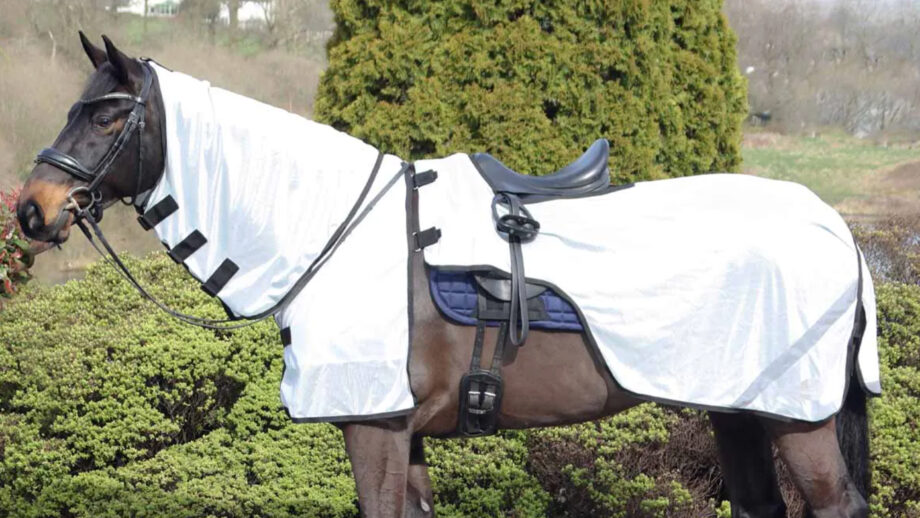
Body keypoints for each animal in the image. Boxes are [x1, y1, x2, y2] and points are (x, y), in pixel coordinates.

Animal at [16, 34, 874, 518]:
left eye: (104, 115)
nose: (32, 208)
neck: (335, 234)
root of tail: (834, 227)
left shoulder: (374, 425)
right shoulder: (406, 433)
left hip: (799, 421)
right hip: (738, 408)